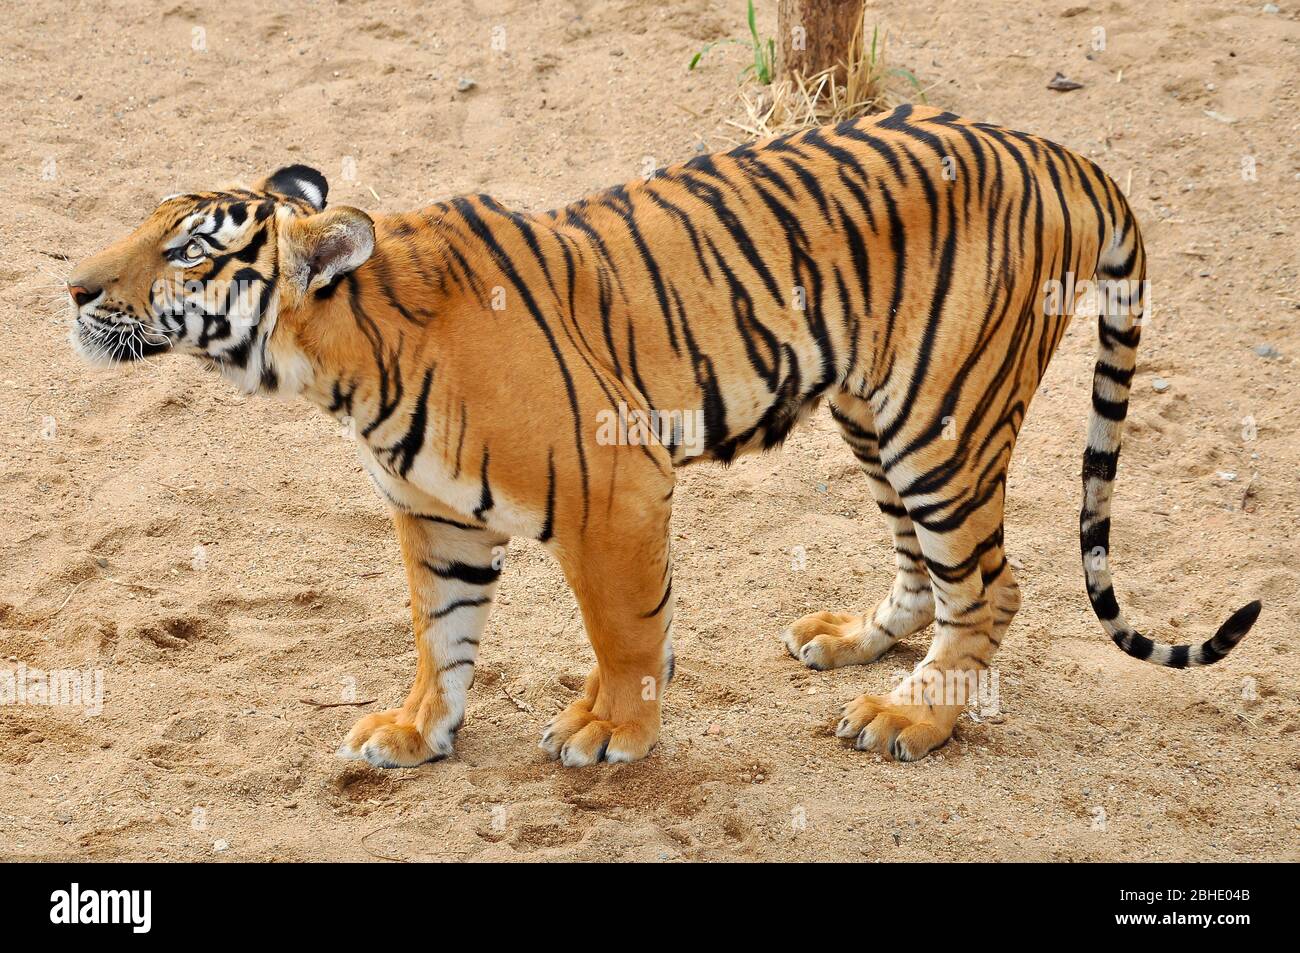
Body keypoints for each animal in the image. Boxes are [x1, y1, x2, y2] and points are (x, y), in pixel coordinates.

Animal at [66, 103, 1261, 768]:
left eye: (186, 249)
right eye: (145, 224)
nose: (74, 287)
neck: (336, 363)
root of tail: (1063, 152)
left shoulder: (614, 487)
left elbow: (624, 630)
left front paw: (615, 734)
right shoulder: (436, 518)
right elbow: (438, 636)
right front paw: (416, 731)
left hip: (944, 418)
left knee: (992, 585)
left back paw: (910, 718)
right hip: (873, 408)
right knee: (922, 563)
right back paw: (858, 641)